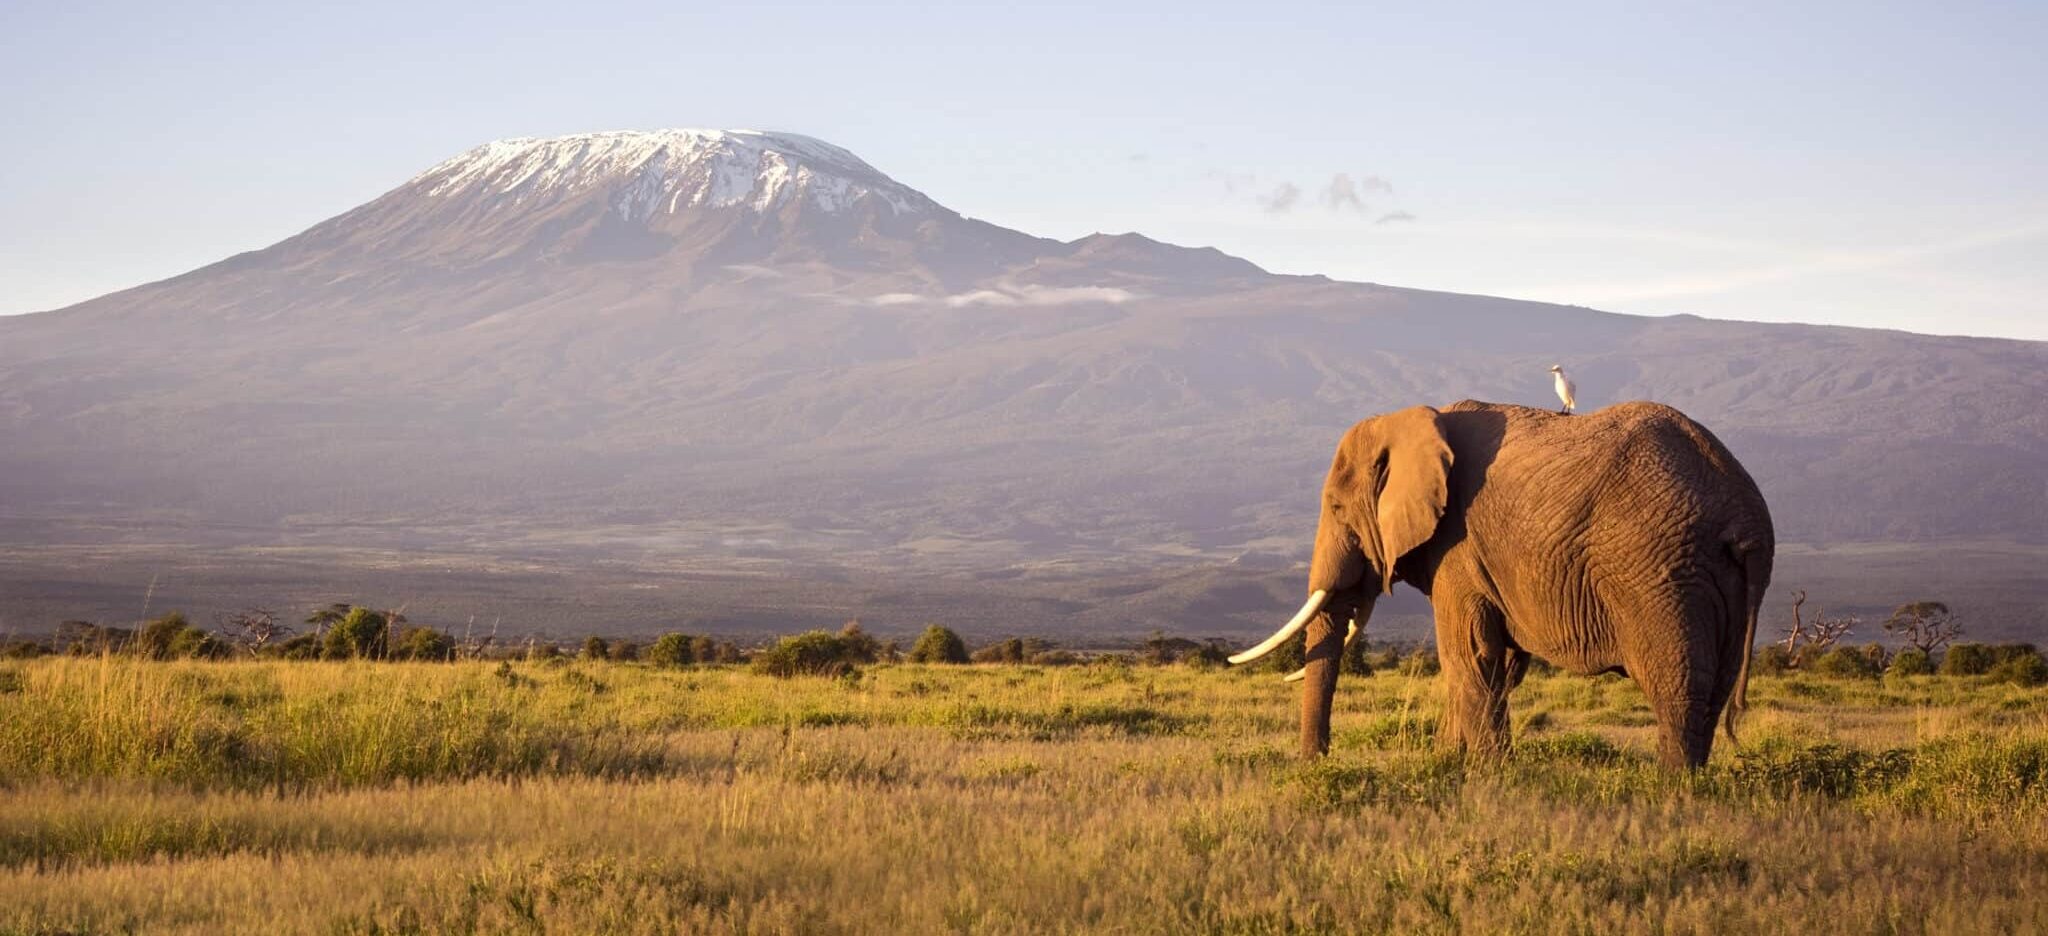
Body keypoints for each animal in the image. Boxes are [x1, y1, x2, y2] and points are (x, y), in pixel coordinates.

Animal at [1228, 397, 1777, 770]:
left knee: (1676, 685)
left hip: (1660, 573)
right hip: (1715, 579)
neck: (1413, 419)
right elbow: (1497, 665)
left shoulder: (1459, 547)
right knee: (1714, 688)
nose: (1318, 762)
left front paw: (1488, 775)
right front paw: (1447, 765)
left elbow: (1468, 655)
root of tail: (1745, 517)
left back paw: (1670, 788)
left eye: (1337, 508)